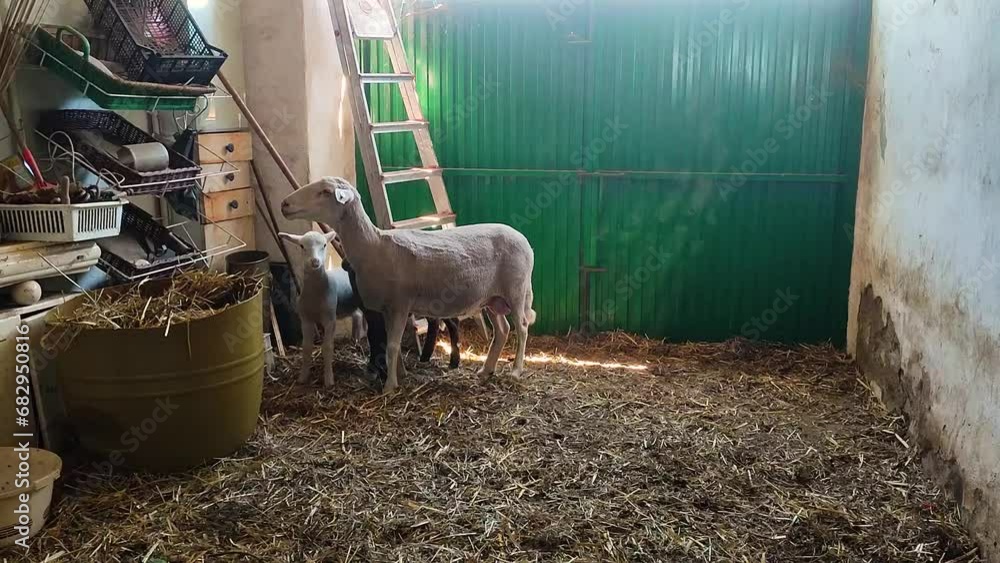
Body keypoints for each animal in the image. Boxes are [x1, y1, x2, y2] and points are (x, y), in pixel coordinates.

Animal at [278, 230, 365, 387]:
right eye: (302, 246)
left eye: (324, 245)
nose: (315, 262)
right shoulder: (306, 319)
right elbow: (306, 348)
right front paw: (303, 377)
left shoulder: (330, 319)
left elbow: (327, 348)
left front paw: (329, 380)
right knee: (358, 315)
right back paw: (355, 340)